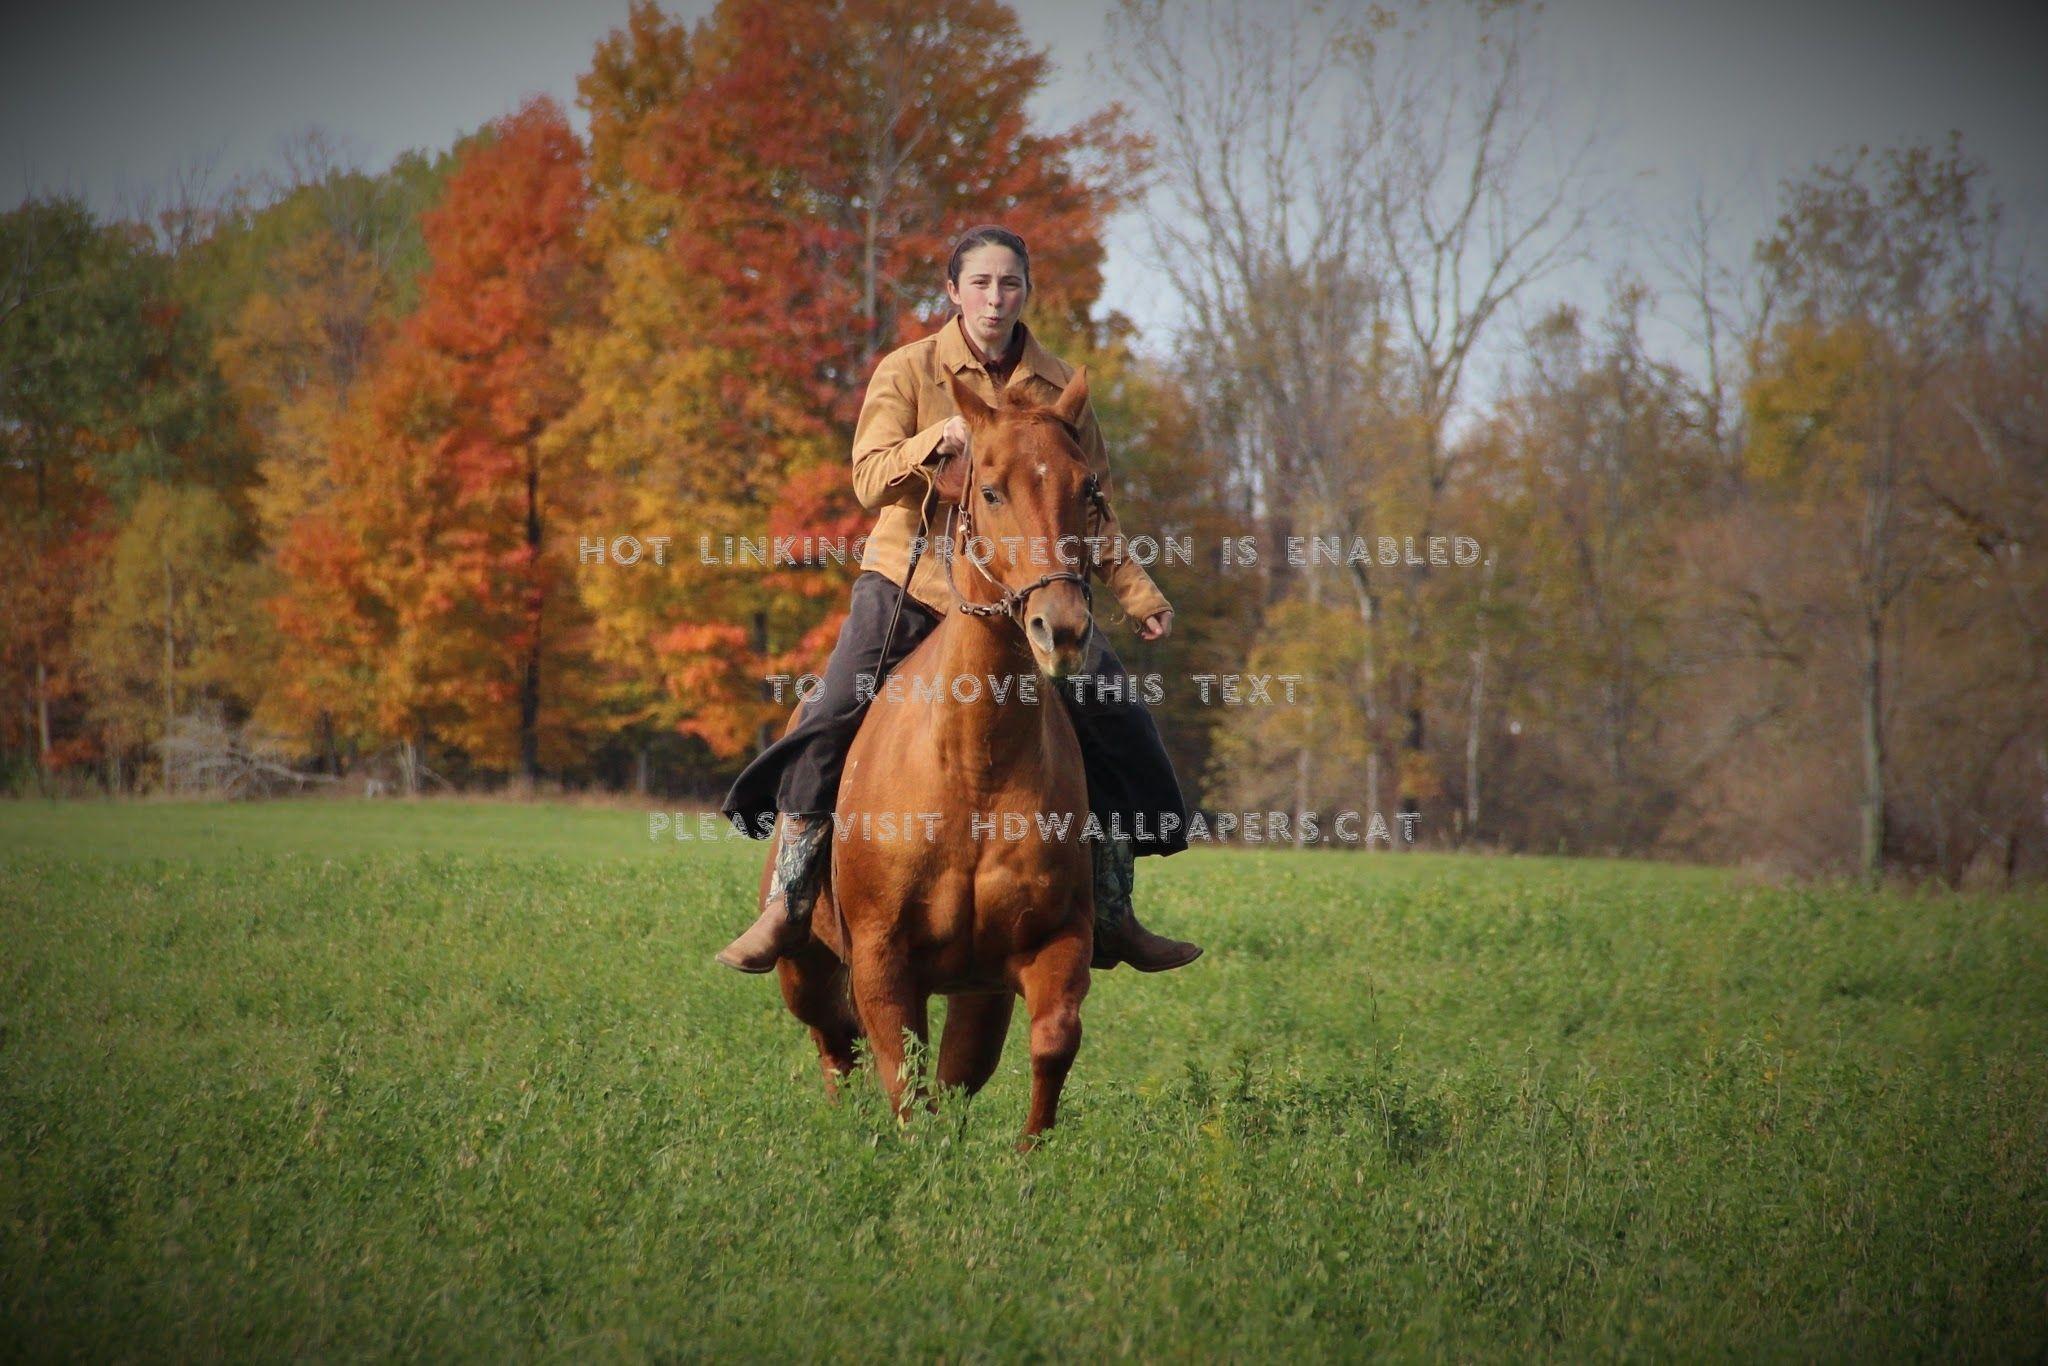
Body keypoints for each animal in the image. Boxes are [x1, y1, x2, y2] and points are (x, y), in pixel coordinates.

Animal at [769, 366, 1106, 1143]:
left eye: (1089, 488)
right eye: (992, 490)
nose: (1062, 630)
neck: (975, 766)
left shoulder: (1048, 944)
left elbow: (1050, 1042)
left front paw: (1027, 1158)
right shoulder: (881, 957)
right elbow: (903, 1077)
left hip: (977, 990)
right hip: (803, 965)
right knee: (833, 1043)